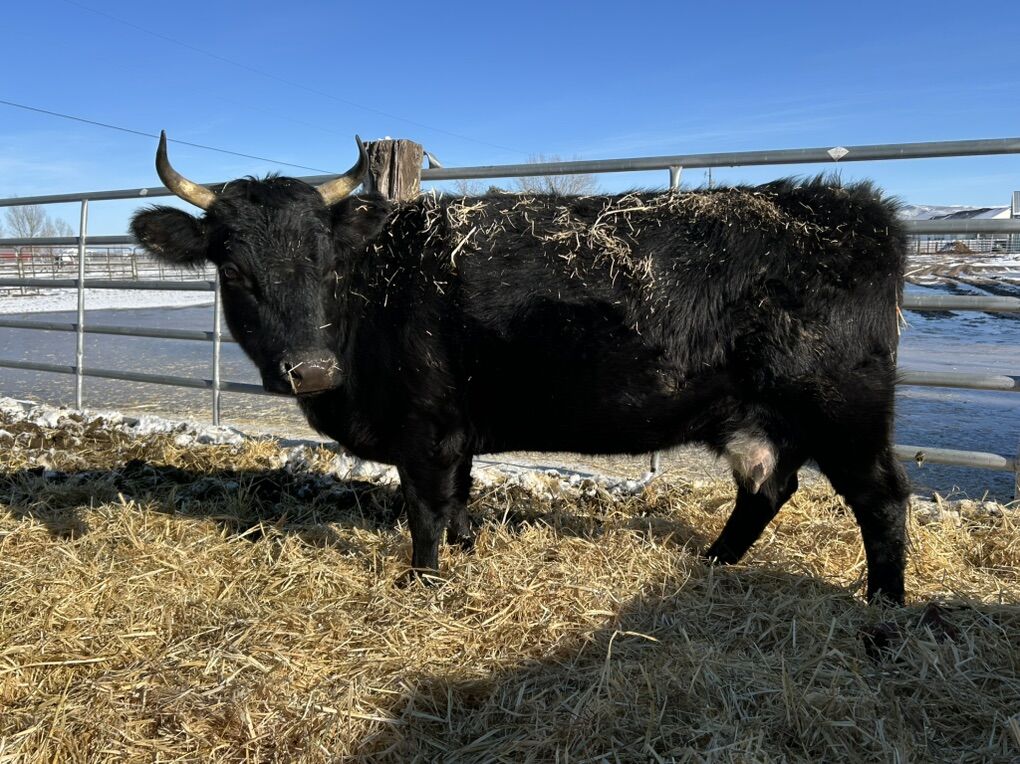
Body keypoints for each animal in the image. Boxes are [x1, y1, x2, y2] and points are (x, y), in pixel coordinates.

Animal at [131, 133, 910, 604]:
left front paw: (422, 583)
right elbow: (459, 502)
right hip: (762, 419)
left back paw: (883, 603)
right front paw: (468, 552)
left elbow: (423, 510)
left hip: (845, 408)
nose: (312, 369)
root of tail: (855, 208)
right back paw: (714, 563)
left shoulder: (425, 430)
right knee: (767, 488)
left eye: (325, 261)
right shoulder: (456, 432)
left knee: (882, 499)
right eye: (233, 268)